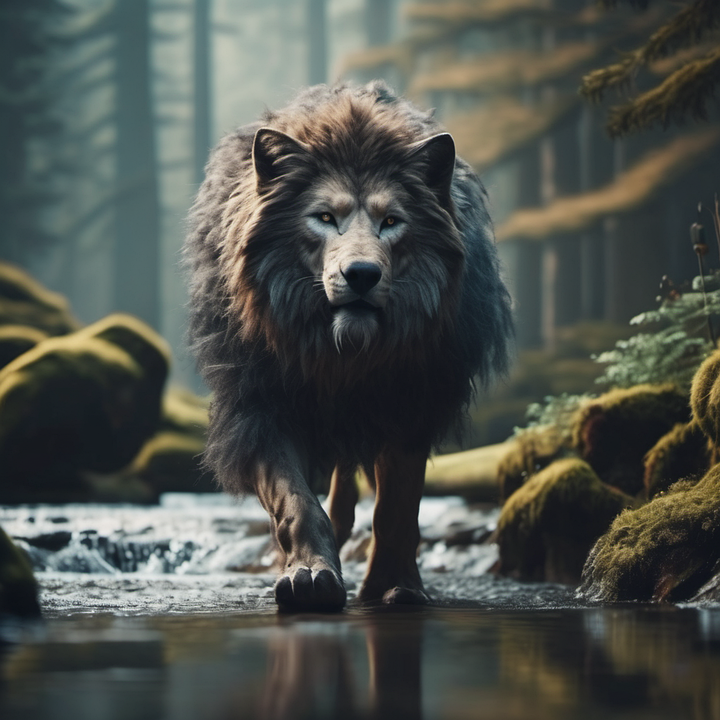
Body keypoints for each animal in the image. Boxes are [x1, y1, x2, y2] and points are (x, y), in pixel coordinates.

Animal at [185, 82, 512, 611]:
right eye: (324, 218)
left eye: (391, 221)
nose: (361, 274)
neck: (343, 357)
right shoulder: (261, 405)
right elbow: (295, 500)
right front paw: (310, 575)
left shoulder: (410, 402)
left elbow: (397, 507)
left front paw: (396, 587)